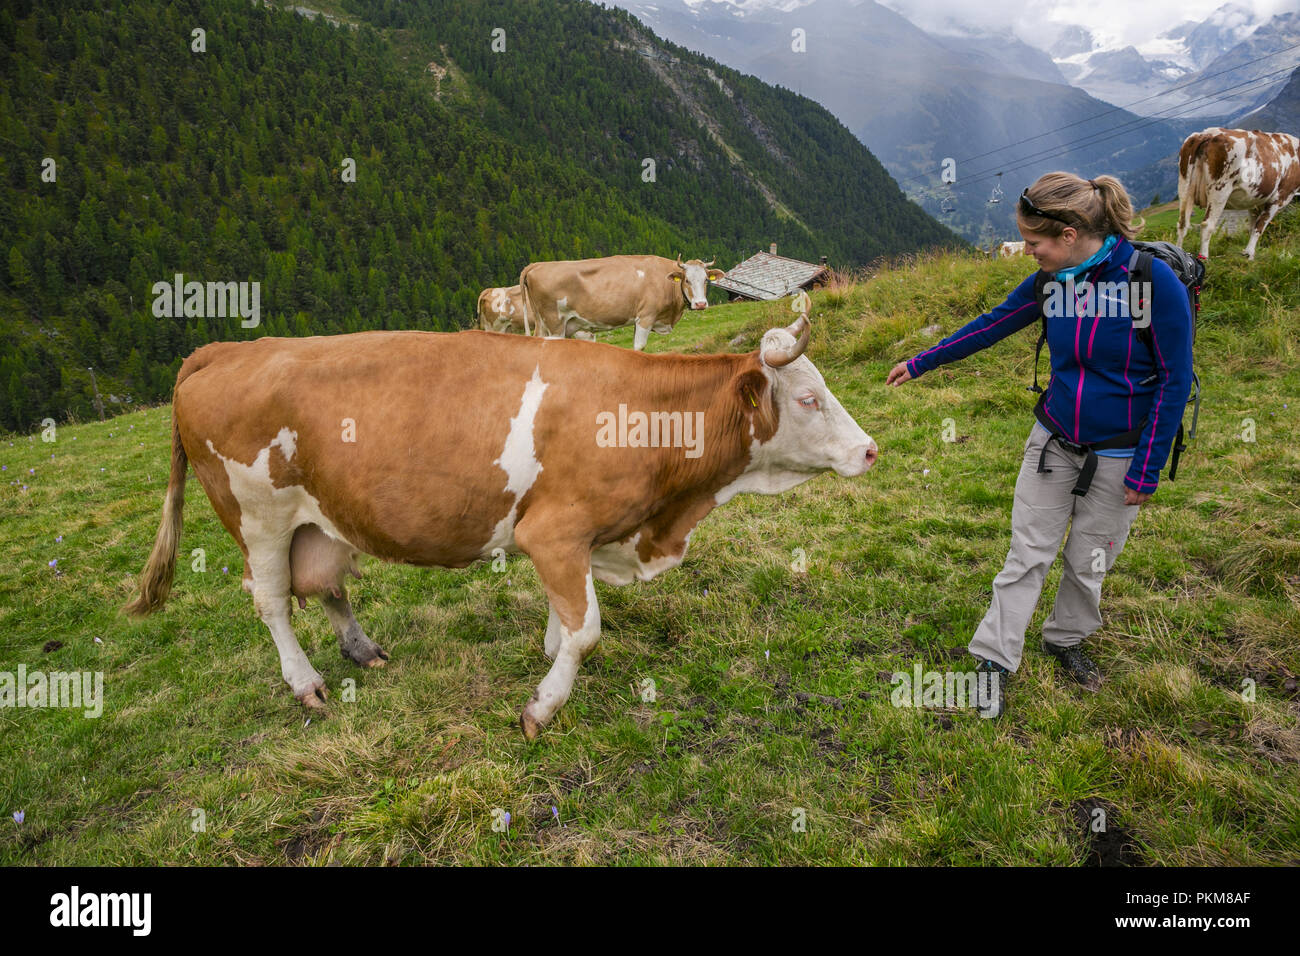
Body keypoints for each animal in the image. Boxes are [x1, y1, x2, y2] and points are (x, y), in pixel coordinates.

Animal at [124, 316, 878, 739]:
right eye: (808, 399)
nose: (870, 450)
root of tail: (224, 349)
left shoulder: (577, 543)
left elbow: (564, 619)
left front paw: (546, 651)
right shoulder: (554, 532)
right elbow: (586, 629)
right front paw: (542, 708)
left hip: (322, 520)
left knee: (328, 585)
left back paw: (362, 650)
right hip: (260, 516)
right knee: (273, 601)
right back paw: (305, 684)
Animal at [520, 254, 725, 350]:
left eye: (706, 280)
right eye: (687, 280)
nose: (700, 304)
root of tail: (537, 265)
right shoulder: (646, 317)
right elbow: (639, 347)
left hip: (542, 322)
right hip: (555, 323)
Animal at [1176, 127, 1300, 260]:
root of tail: (1208, 134)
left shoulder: (1254, 202)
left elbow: (1252, 227)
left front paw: (1248, 254)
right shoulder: (1279, 198)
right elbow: (1259, 228)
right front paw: (1249, 253)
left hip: (1185, 186)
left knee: (1182, 223)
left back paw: (1179, 251)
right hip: (1220, 189)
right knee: (1207, 224)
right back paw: (1204, 257)